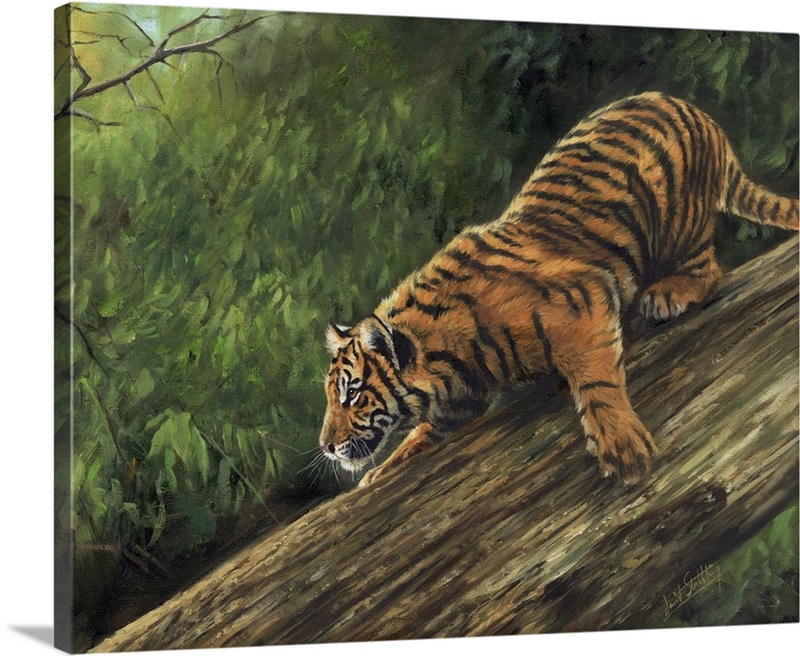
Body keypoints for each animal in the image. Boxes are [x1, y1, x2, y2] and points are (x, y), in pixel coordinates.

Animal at [318, 91, 799, 487]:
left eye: (352, 393)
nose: (325, 446)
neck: (447, 359)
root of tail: (699, 115)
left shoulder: (581, 297)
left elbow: (595, 379)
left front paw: (622, 446)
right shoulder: (462, 397)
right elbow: (424, 430)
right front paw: (383, 469)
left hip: (680, 222)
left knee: (709, 269)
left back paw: (666, 296)